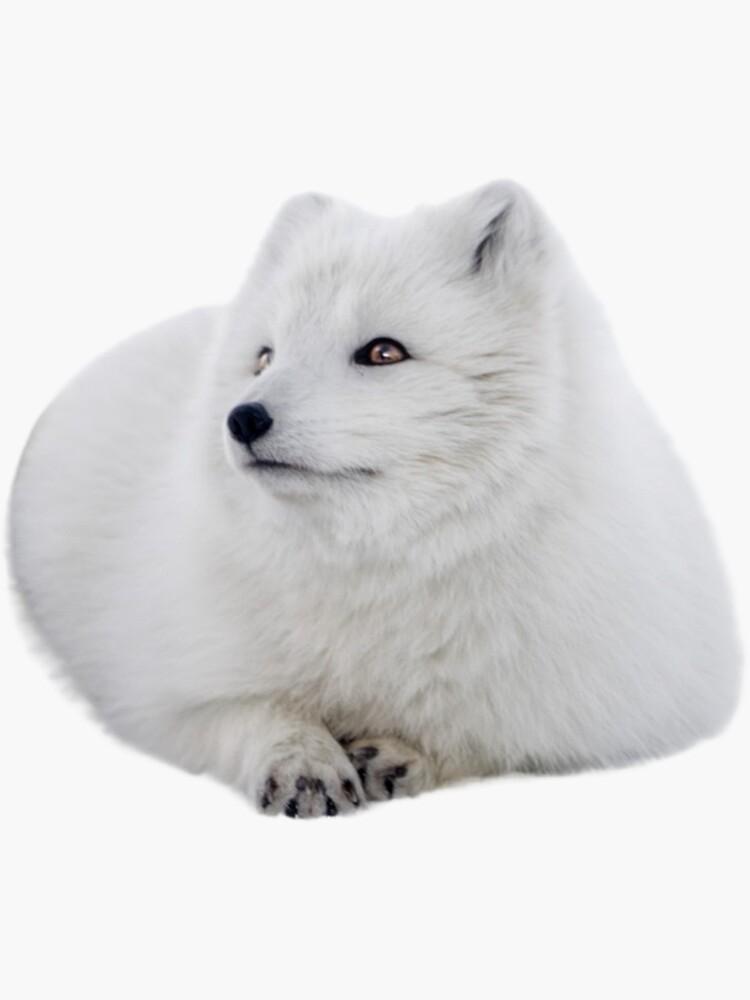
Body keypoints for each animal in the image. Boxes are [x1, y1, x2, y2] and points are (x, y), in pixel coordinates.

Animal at [9, 181, 741, 817]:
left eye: (384, 352)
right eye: (264, 357)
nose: (242, 419)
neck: (380, 567)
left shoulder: (610, 707)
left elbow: (493, 738)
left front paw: (402, 754)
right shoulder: (160, 691)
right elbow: (251, 711)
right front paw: (303, 760)